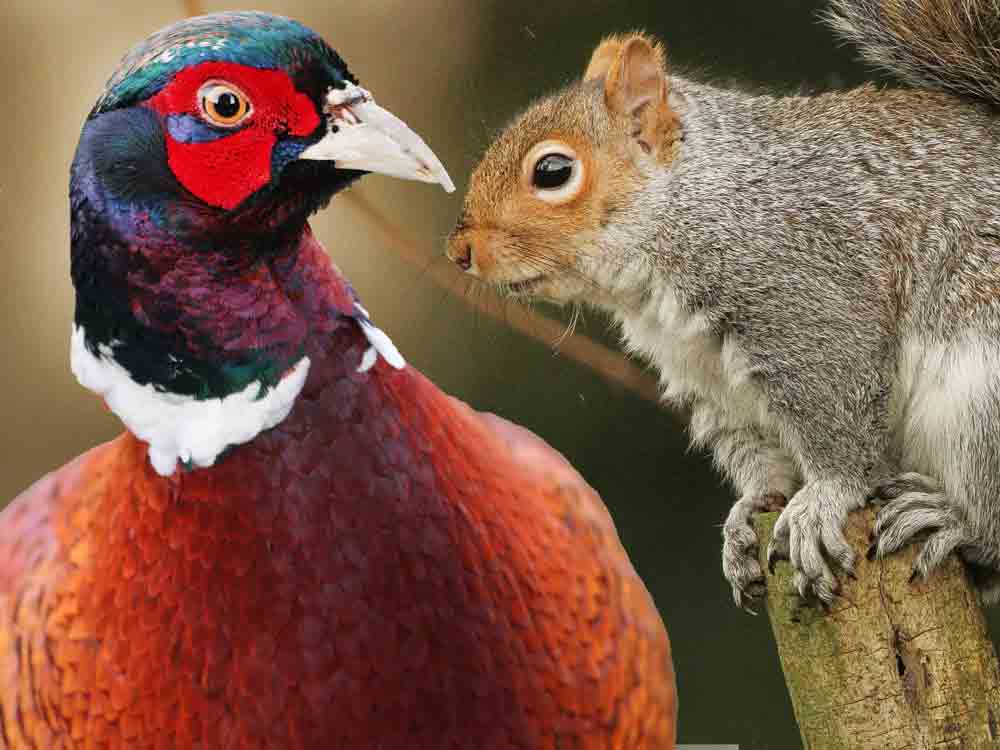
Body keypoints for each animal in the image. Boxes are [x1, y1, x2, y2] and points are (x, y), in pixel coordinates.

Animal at [446, 0, 1000, 608]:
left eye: (552, 171)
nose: (459, 252)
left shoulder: (809, 310)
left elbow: (839, 428)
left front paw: (822, 501)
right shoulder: (711, 382)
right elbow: (757, 459)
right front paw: (749, 515)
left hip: (981, 405)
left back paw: (954, 519)